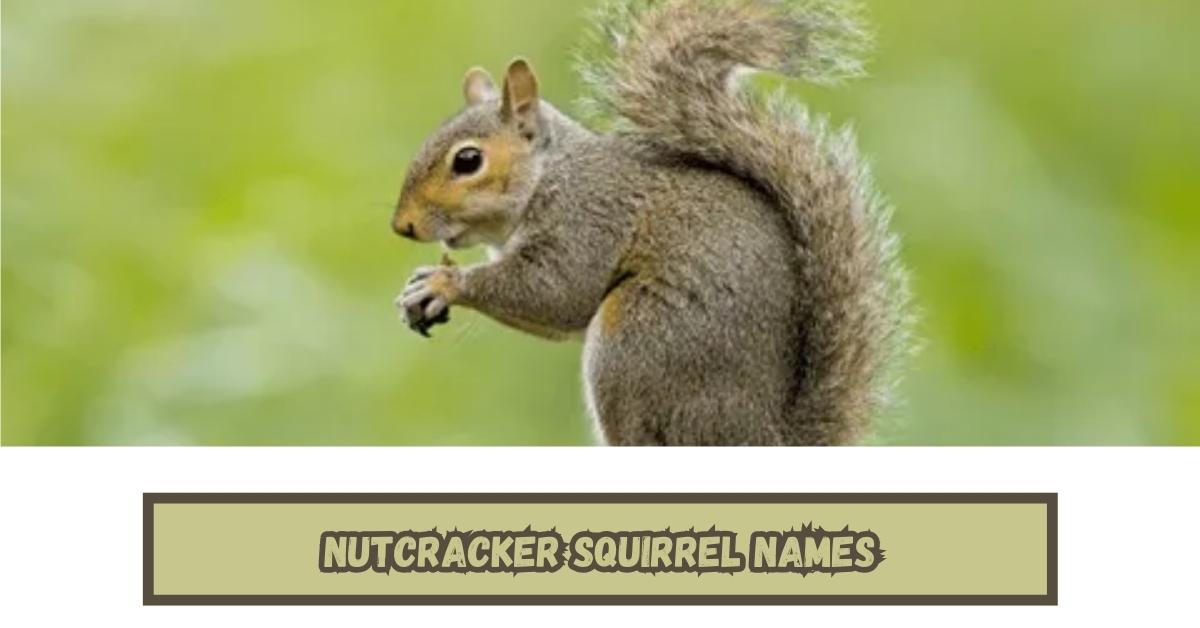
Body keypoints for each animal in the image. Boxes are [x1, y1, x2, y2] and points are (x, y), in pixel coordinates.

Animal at [392, 0, 911, 445]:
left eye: (468, 160)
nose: (403, 226)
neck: (549, 175)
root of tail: (765, 437)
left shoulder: (588, 217)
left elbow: (557, 292)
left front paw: (444, 283)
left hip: (638, 343)